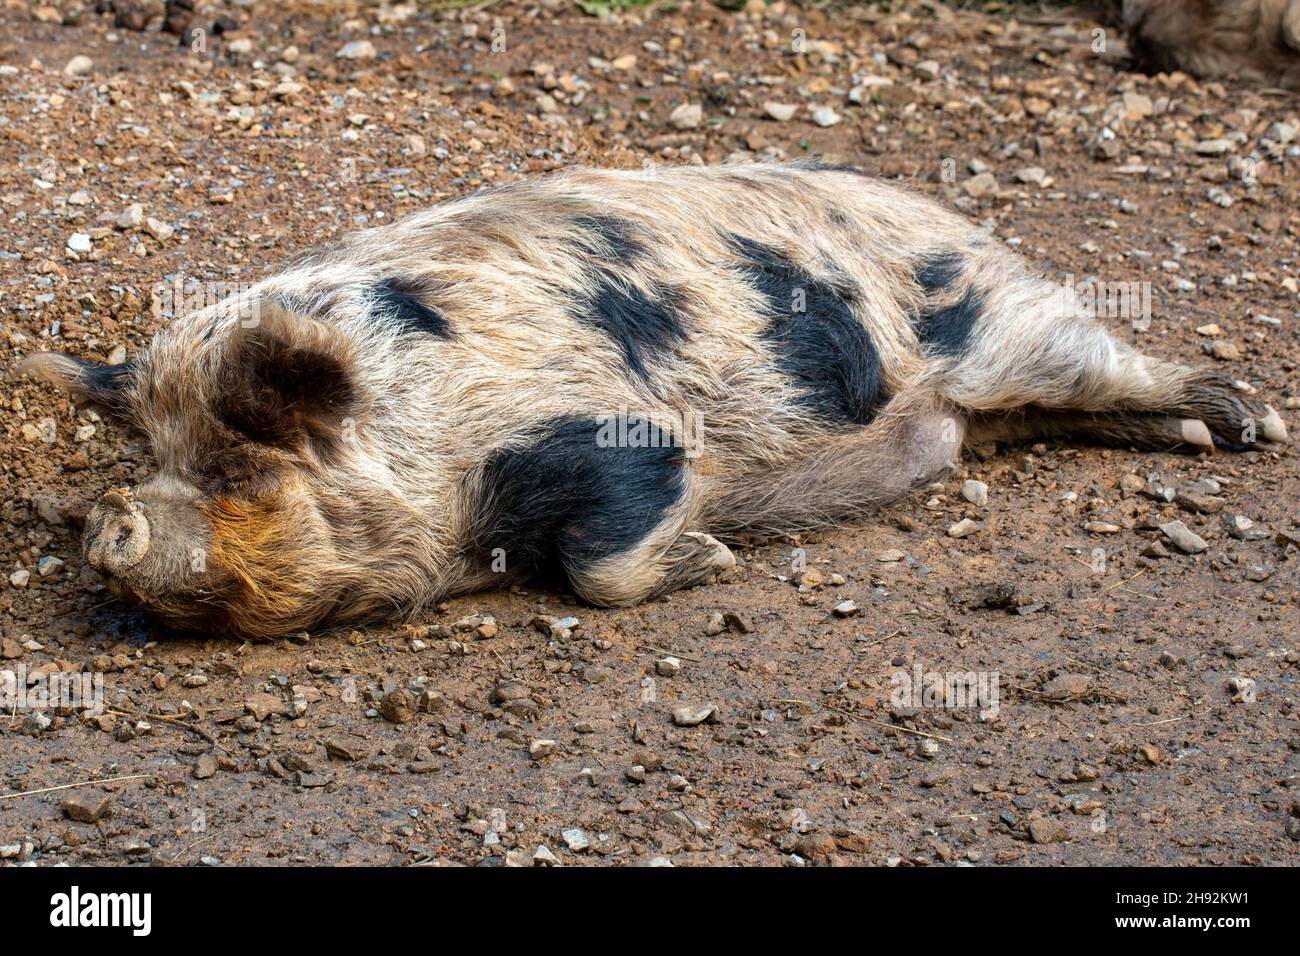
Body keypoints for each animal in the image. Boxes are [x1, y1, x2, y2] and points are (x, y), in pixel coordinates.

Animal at [19, 162, 1288, 639]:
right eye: (155, 459)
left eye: (241, 466)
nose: (106, 518)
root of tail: (956, 219)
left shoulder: (610, 431)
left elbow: (604, 564)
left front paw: (713, 560)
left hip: (1001, 322)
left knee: (1104, 356)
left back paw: (1240, 421)